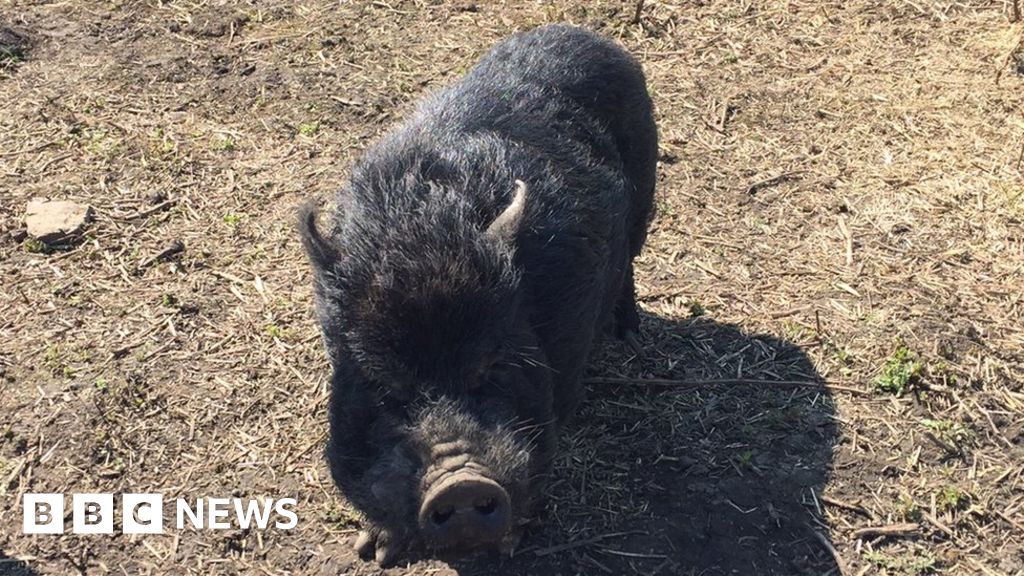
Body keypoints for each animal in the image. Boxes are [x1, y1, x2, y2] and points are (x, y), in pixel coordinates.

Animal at [299, 24, 657, 564]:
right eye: (385, 385)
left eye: (490, 365)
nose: (460, 484)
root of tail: (582, 33)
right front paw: (375, 552)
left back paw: (630, 336)